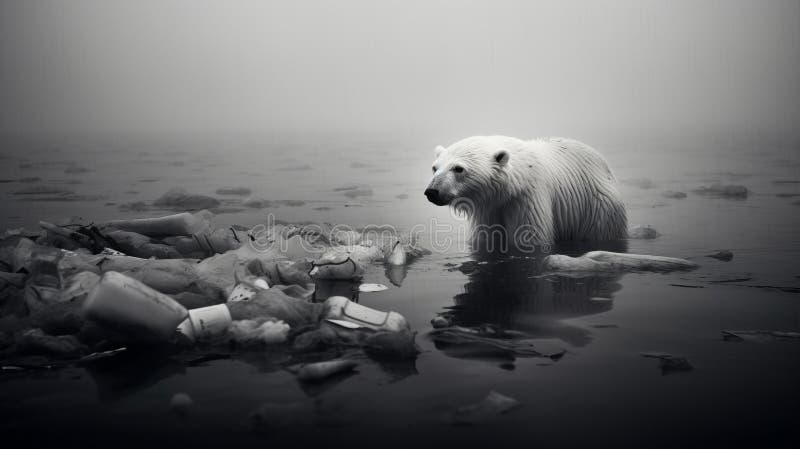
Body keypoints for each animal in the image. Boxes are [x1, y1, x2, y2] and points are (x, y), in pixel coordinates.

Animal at [424, 135, 627, 250]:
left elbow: (529, 237)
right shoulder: (488, 209)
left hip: (598, 205)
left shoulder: (527, 198)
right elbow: (485, 238)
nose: (432, 191)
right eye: (435, 168)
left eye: (458, 168)